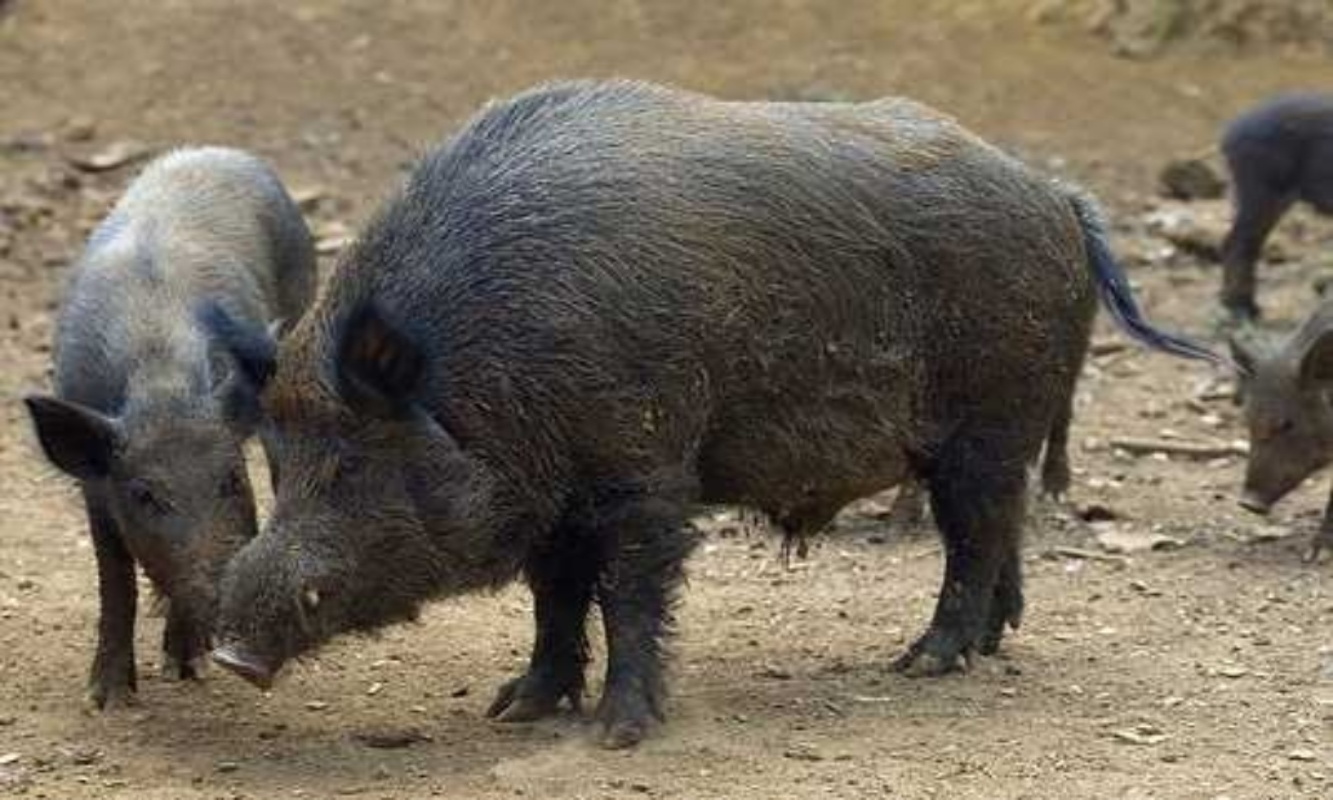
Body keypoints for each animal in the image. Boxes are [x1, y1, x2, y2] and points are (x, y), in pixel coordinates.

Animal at [24, 147, 316, 708]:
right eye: (145, 495)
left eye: (231, 480)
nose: (224, 593)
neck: (162, 388)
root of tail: (222, 152)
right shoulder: (96, 485)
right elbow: (114, 578)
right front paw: (108, 700)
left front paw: (187, 667)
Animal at [205, 80, 1225, 747]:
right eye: (276, 464)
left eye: (353, 460)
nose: (231, 654)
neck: (485, 369)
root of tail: (1059, 197)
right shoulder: (550, 492)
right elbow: (553, 598)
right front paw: (515, 708)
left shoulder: (643, 462)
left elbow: (629, 591)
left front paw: (617, 735)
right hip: (995, 431)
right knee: (1000, 531)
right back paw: (980, 648)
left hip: (989, 416)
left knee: (973, 538)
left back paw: (923, 663)